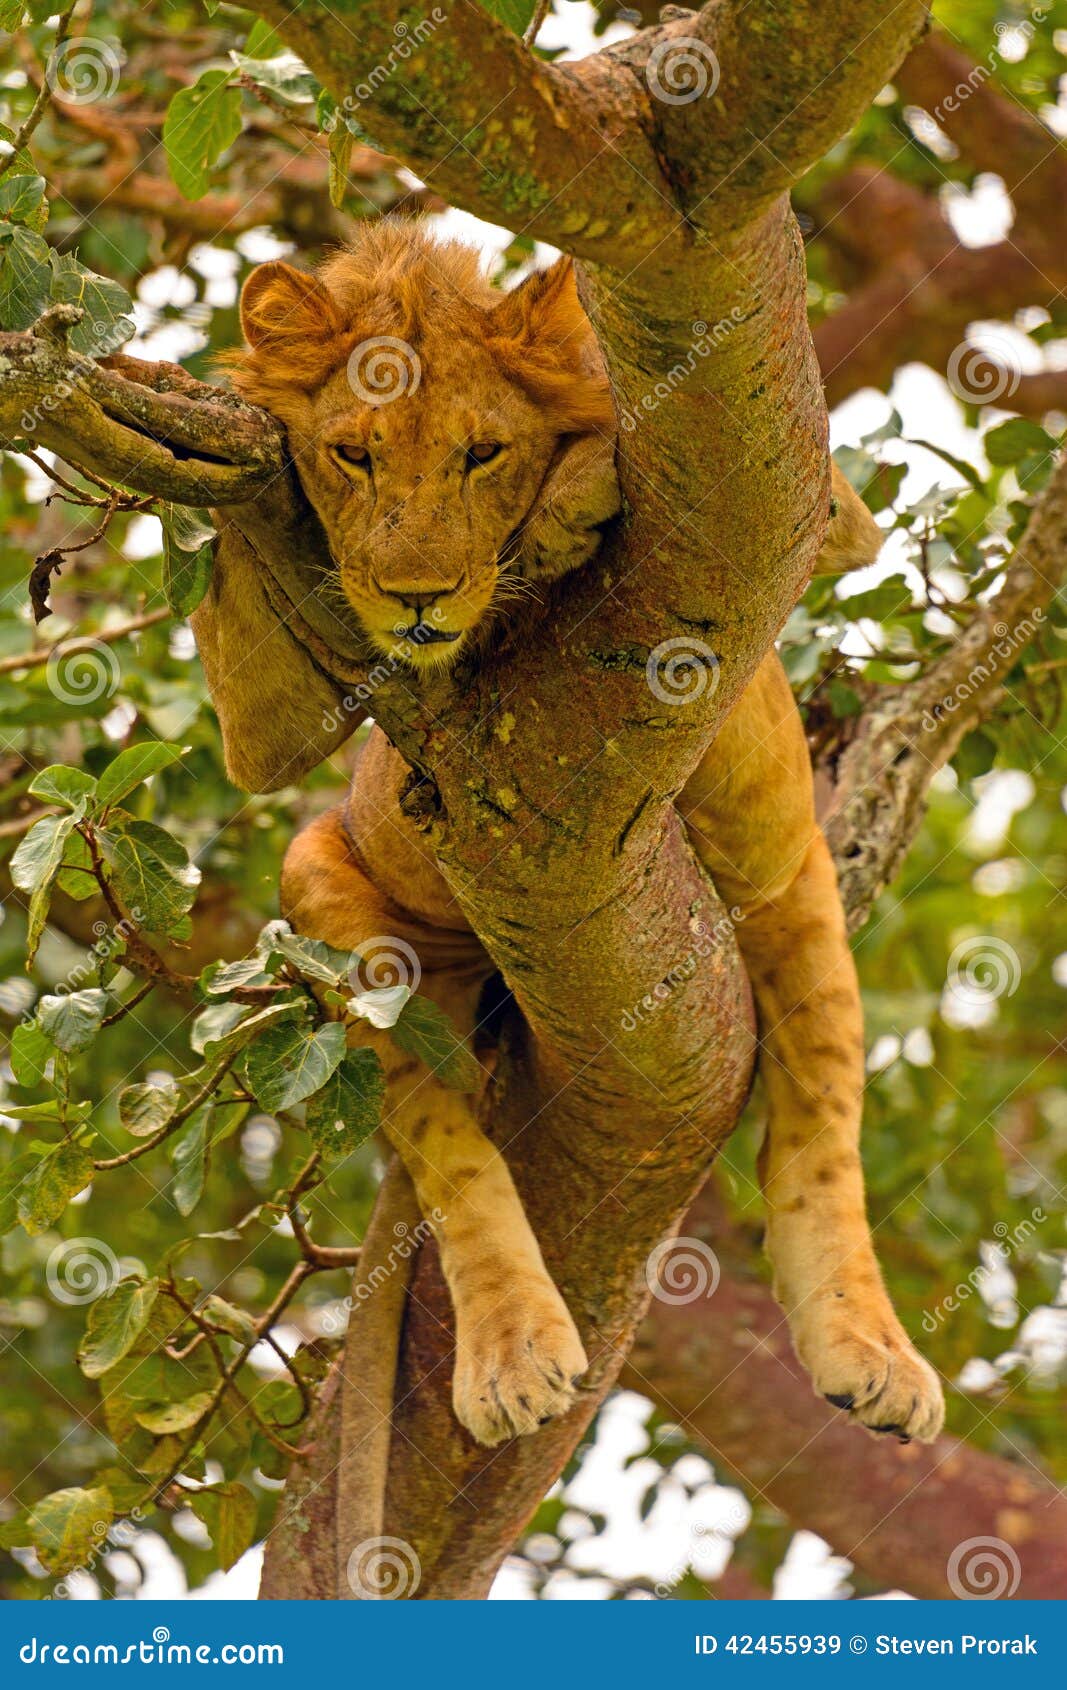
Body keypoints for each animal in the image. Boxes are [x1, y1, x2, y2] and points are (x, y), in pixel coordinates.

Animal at [193, 221, 944, 1449]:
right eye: (351, 457)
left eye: (482, 453)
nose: (415, 598)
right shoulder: (263, 730)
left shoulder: (817, 506)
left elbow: (613, 438)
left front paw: (565, 500)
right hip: (330, 895)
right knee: (443, 1139)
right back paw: (513, 1355)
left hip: (792, 887)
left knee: (818, 1132)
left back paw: (870, 1355)